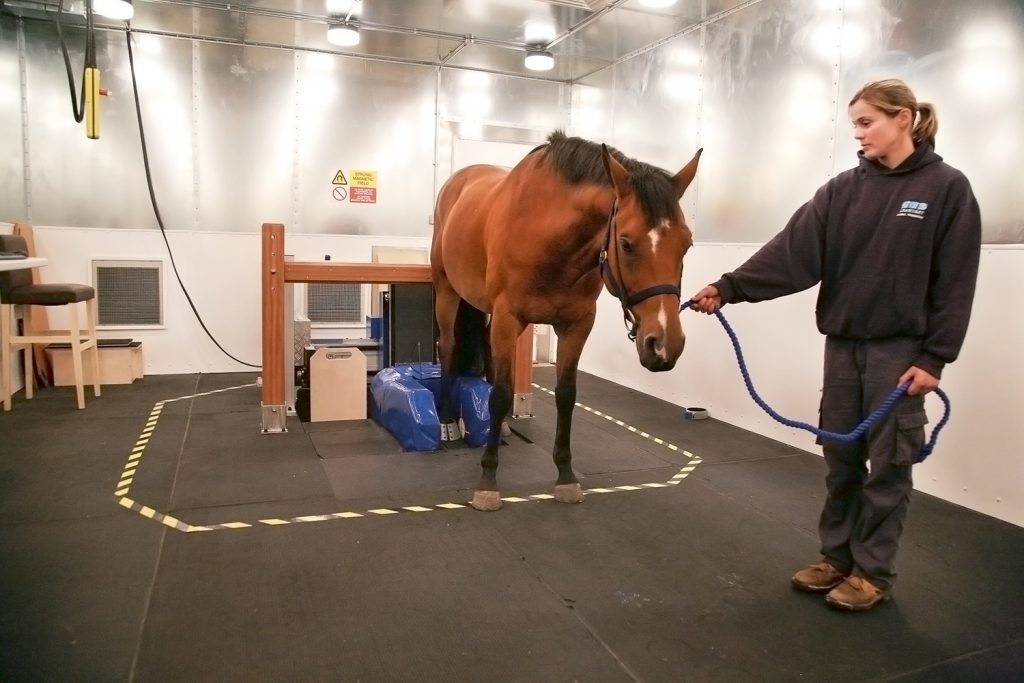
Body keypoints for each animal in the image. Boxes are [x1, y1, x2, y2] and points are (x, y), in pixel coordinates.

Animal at [431, 131, 701, 511]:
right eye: (626, 243)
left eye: (687, 244)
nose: (664, 344)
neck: (548, 236)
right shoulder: (508, 318)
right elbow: (500, 394)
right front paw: (488, 481)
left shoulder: (577, 325)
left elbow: (566, 394)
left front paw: (566, 476)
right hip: (447, 292)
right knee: (448, 348)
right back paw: (445, 421)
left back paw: (500, 429)